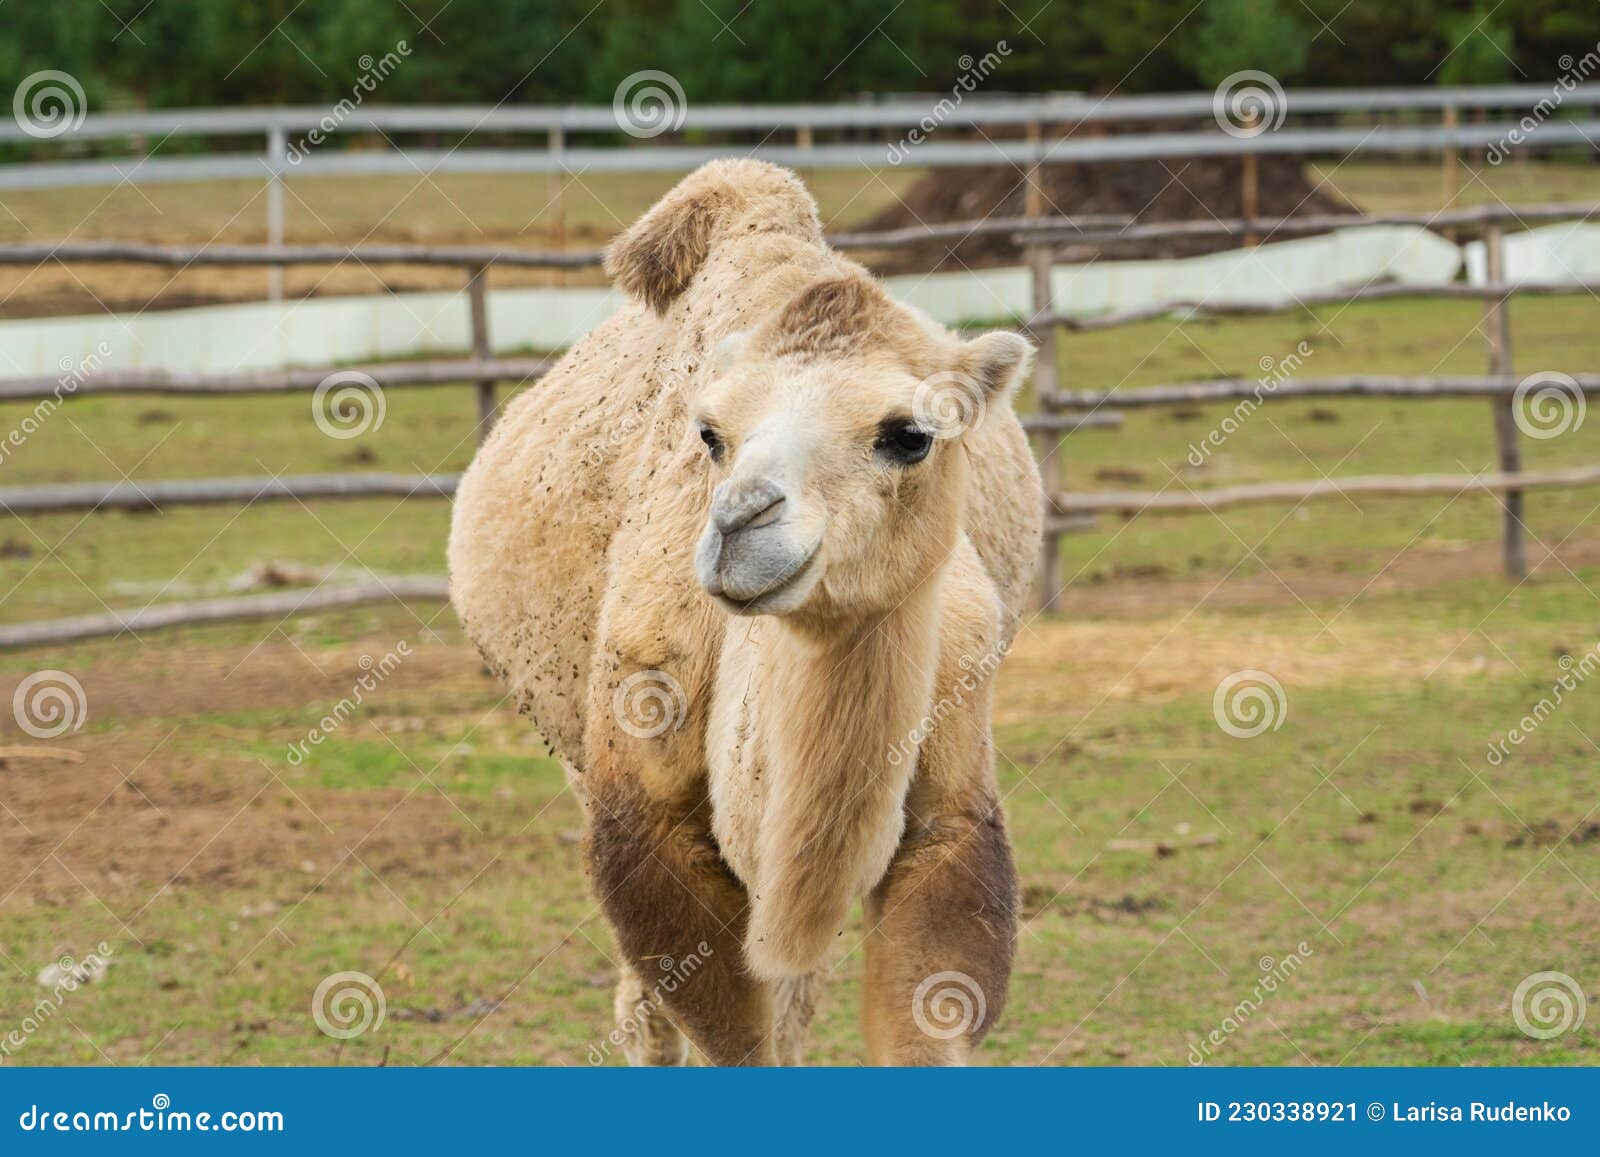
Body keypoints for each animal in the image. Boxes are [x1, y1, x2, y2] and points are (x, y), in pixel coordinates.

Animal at [447, 159, 1042, 1065]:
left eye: (912, 434)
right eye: (709, 433)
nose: (739, 523)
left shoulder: (954, 781)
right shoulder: (643, 772)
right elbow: (722, 1027)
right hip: (573, 745)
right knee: (648, 1004)